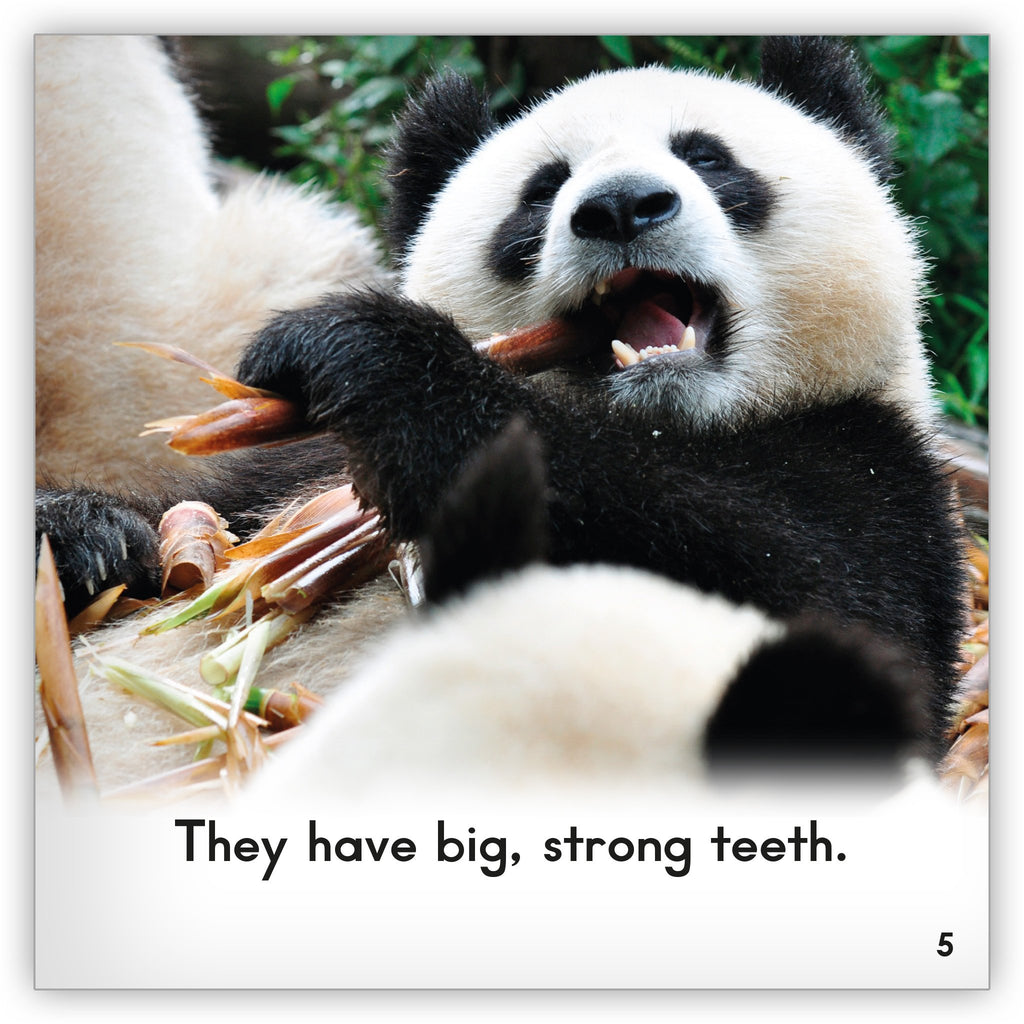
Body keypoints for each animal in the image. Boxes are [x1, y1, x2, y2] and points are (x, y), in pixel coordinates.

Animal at [35, 36, 967, 793]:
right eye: (542, 190)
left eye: (707, 156)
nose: (622, 206)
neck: (669, 424)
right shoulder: (280, 474)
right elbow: (187, 519)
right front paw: (86, 534)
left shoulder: (876, 476)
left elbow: (808, 603)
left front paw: (370, 356)